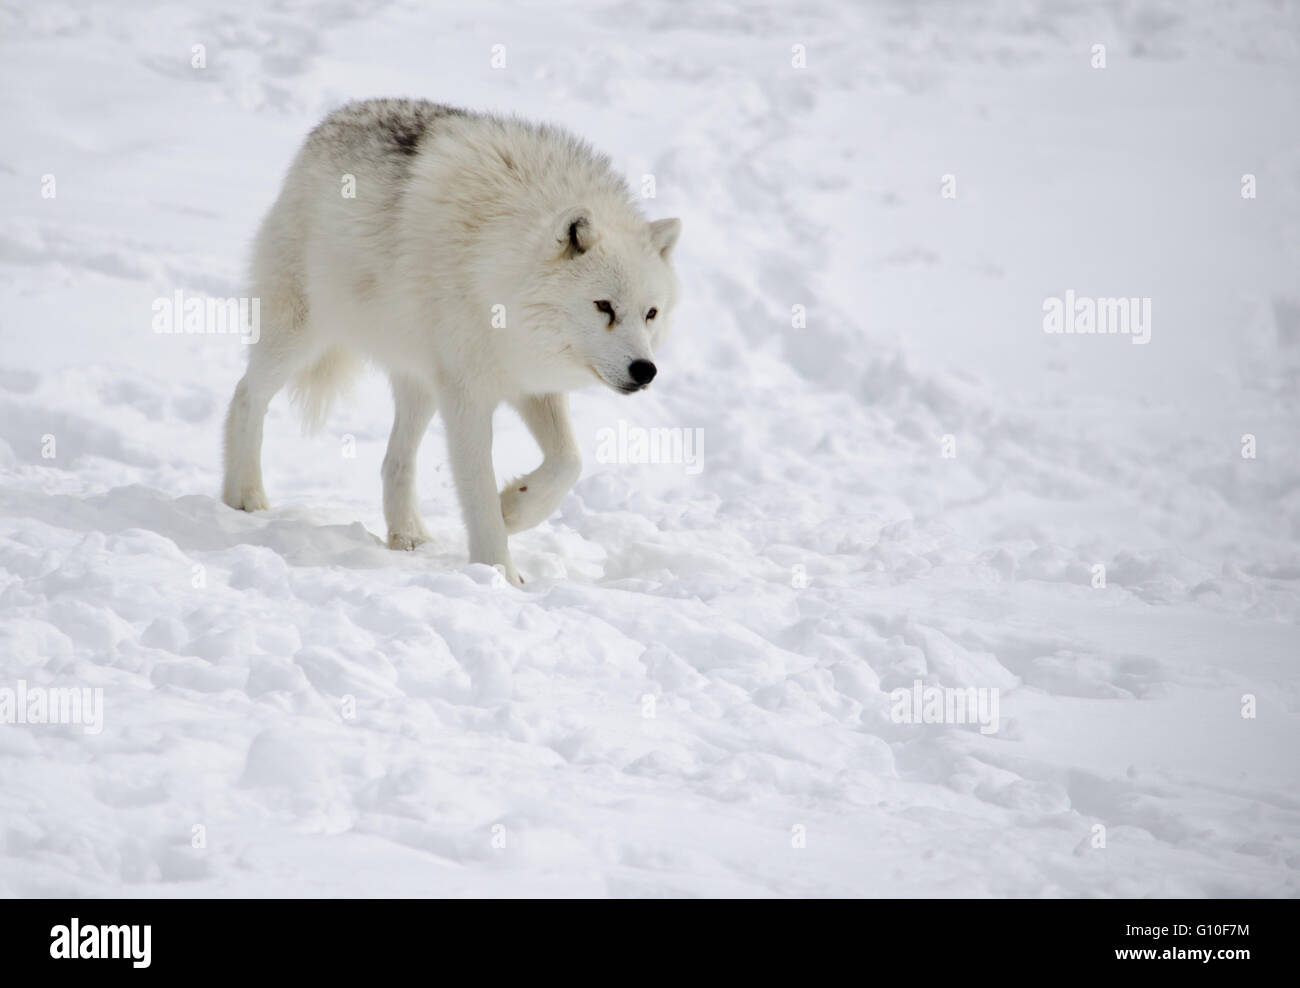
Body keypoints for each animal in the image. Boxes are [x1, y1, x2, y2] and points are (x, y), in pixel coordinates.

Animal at [222, 99, 682, 585]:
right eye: (604, 306)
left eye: (651, 314)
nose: (645, 371)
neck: (497, 262)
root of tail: (333, 119)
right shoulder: (468, 396)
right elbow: (478, 491)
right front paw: (500, 573)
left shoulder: (531, 384)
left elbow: (569, 462)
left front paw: (513, 507)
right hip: (300, 337)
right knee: (246, 397)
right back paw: (243, 496)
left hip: (421, 383)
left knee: (395, 461)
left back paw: (407, 536)